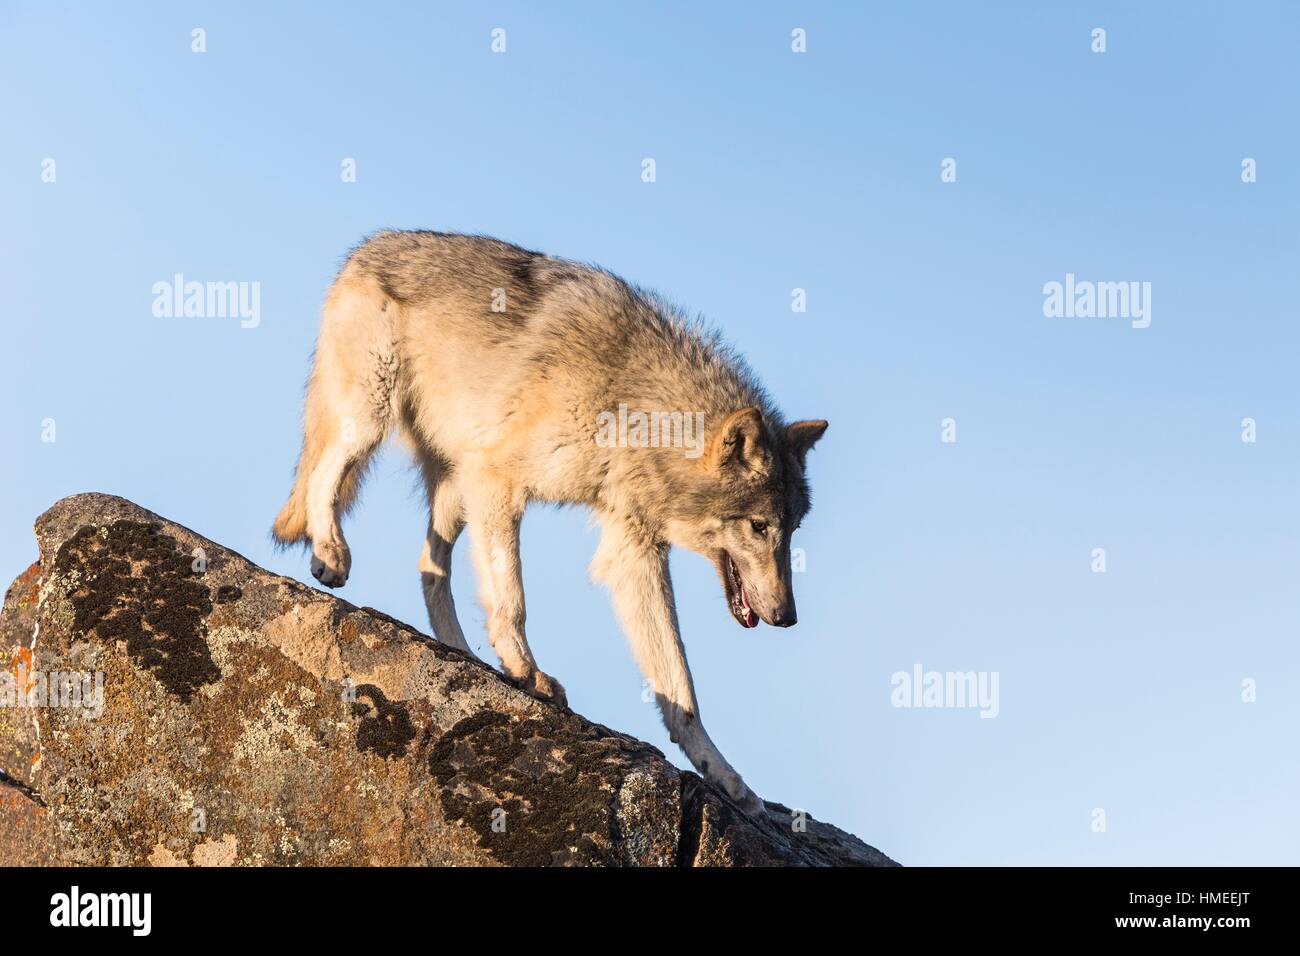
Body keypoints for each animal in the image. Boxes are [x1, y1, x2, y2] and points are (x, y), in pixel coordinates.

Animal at [272, 231, 827, 813]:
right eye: (760, 528)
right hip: (374, 420)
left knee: (428, 568)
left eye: (791, 532)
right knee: (324, 476)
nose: (788, 617)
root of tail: (366, 247)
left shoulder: (632, 551)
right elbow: (513, 600)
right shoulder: (499, 481)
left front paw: (726, 778)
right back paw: (330, 553)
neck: (630, 400)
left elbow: (681, 685)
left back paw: (458, 654)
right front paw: (527, 670)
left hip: (453, 488)